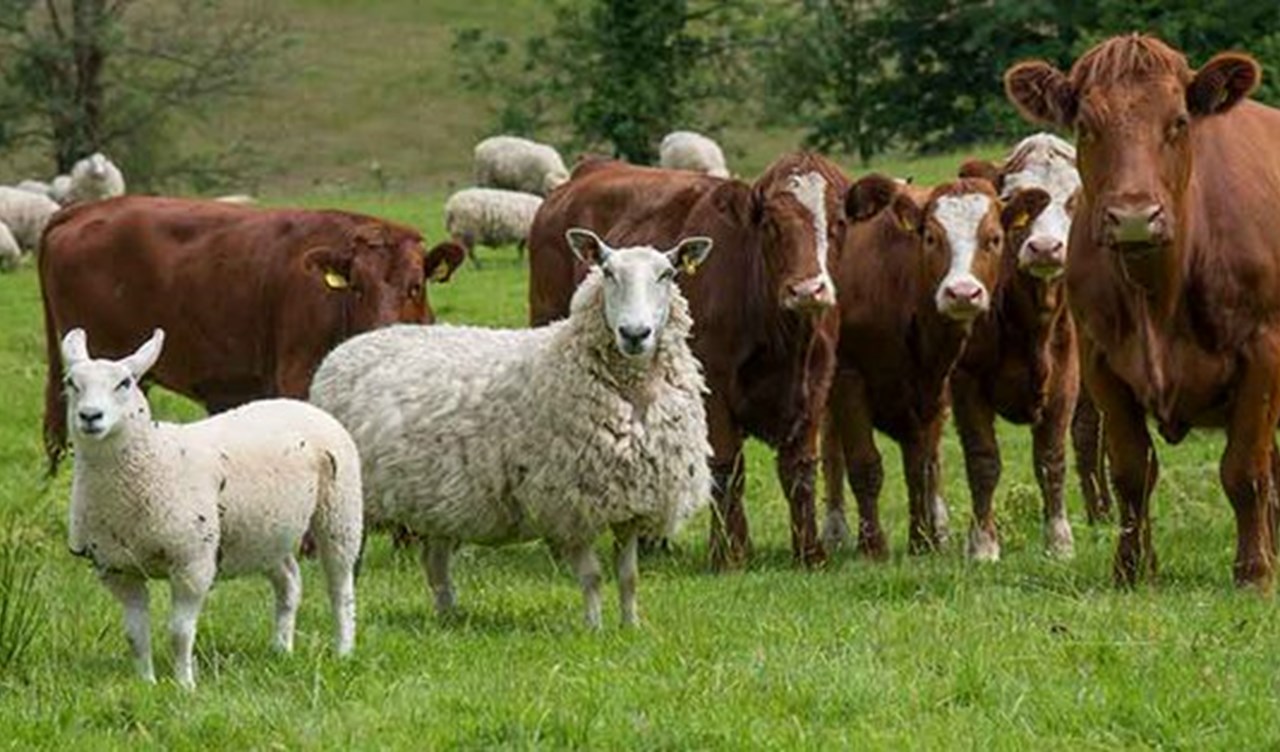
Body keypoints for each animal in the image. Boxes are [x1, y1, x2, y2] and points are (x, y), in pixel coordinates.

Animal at [62, 328, 362, 688]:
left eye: (125, 383)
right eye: (71, 383)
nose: (90, 416)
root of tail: (300, 403)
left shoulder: (192, 562)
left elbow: (179, 633)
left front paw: (184, 686)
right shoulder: (117, 568)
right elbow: (135, 635)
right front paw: (146, 684)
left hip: (341, 510)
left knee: (340, 587)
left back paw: (343, 651)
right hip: (263, 531)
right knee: (289, 580)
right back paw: (281, 649)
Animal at [310, 228, 714, 628]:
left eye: (668, 274)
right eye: (607, 272)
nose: (634, 333)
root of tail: (349, 347)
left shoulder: (631, 500)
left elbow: (629, 576)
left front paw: (630, 628)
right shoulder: (568, 503)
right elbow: (592, 576)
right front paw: (594, 630)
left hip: (439, 499)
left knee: (436, 565)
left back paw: (449, 619)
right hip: (351, 495)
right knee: (350, 566)